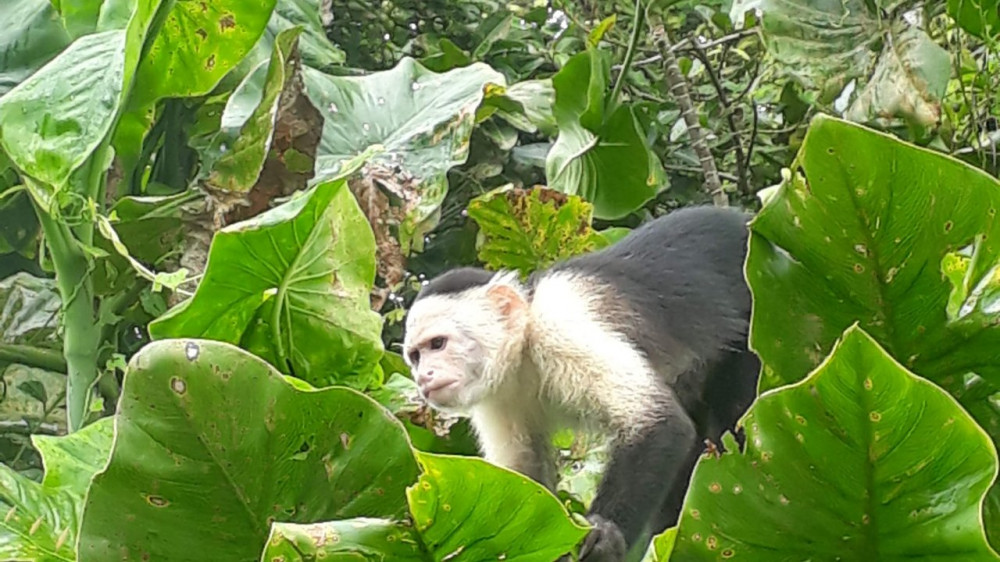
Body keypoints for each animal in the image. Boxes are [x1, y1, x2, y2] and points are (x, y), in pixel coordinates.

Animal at [402, 205, 760, 561]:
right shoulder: (499, 395)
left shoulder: (560, 327)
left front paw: (606, 533)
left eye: (437, 344)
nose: (423, 377)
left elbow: (659, 422)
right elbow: (523, 486)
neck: (525, 346)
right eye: (415, 356)